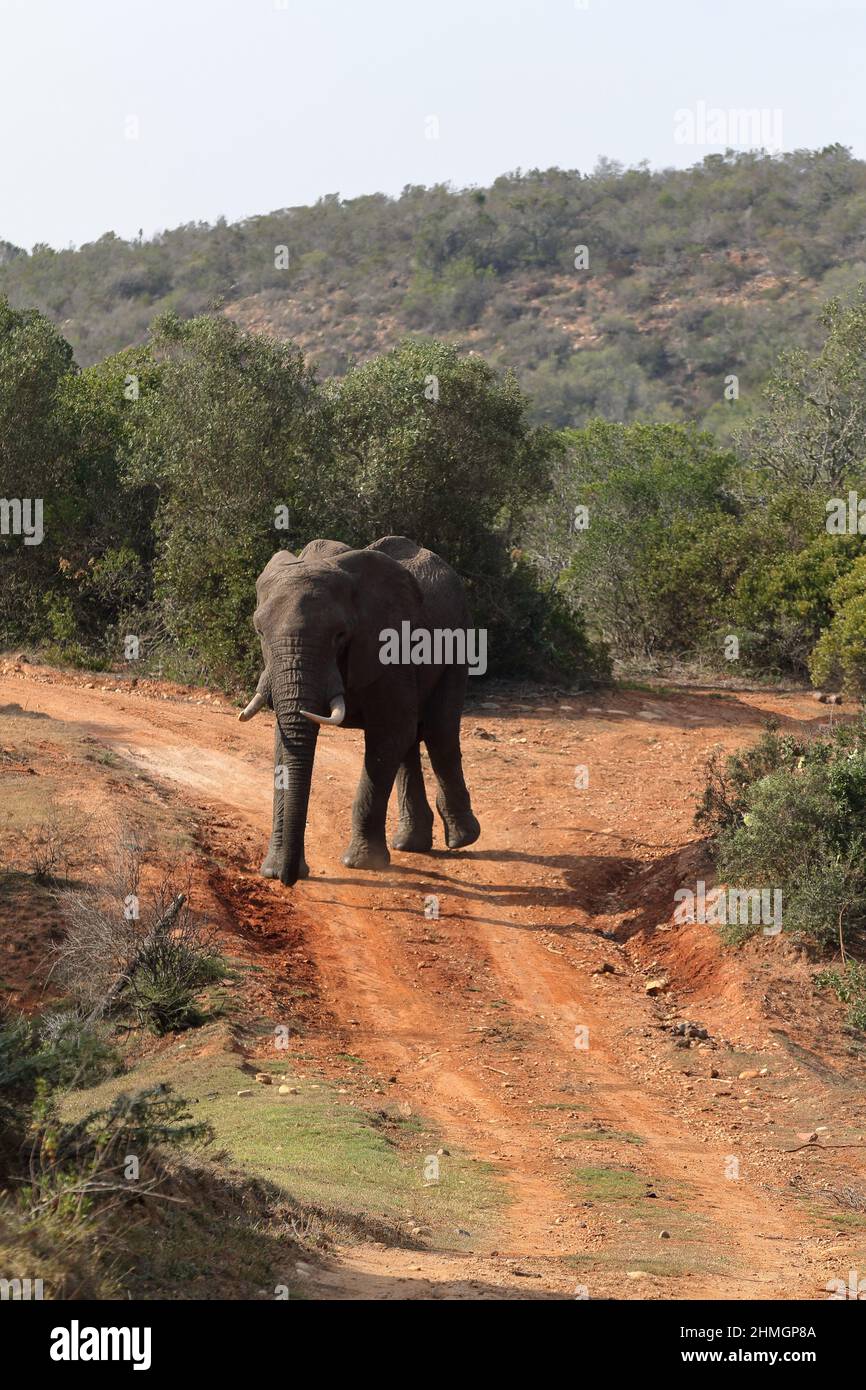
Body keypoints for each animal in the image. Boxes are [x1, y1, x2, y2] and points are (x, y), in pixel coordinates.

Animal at [237, 536, 481, 886]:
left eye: (340, 635)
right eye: (259, 632)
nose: (289, 879)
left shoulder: (389, 645)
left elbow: (389, 734)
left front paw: (362, 863)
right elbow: (286, 739)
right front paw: (272, 870)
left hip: (458, 636)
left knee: (439, 731)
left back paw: (462, 839)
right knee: (412, 740)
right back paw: (411, 843)